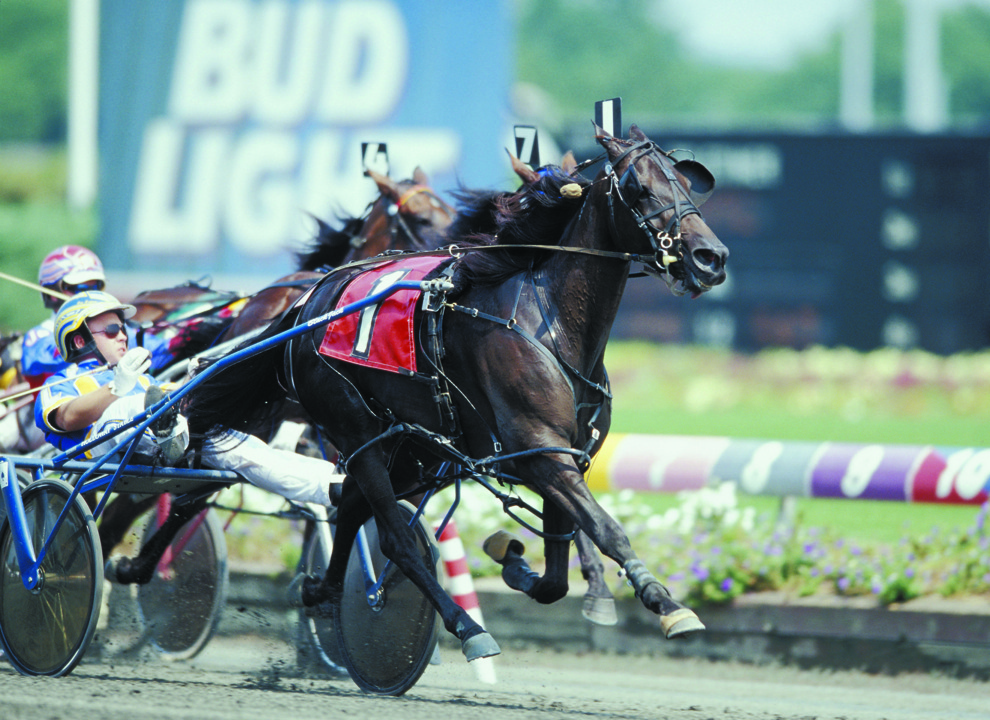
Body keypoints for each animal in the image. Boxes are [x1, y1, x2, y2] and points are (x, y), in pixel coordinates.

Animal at [183, 123, 728, 661]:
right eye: (639, 188)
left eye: (688, 184)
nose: (711, 257)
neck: (551, 322)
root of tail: (309, 304)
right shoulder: (541, 453)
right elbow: (603, 527)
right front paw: (666, 603)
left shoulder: (565, 453)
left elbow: (557, 570)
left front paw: (516, 559)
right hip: (353, 427)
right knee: (393, 537)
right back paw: (465, 627)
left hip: (407, 447)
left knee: (353, 506)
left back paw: (323, 590)